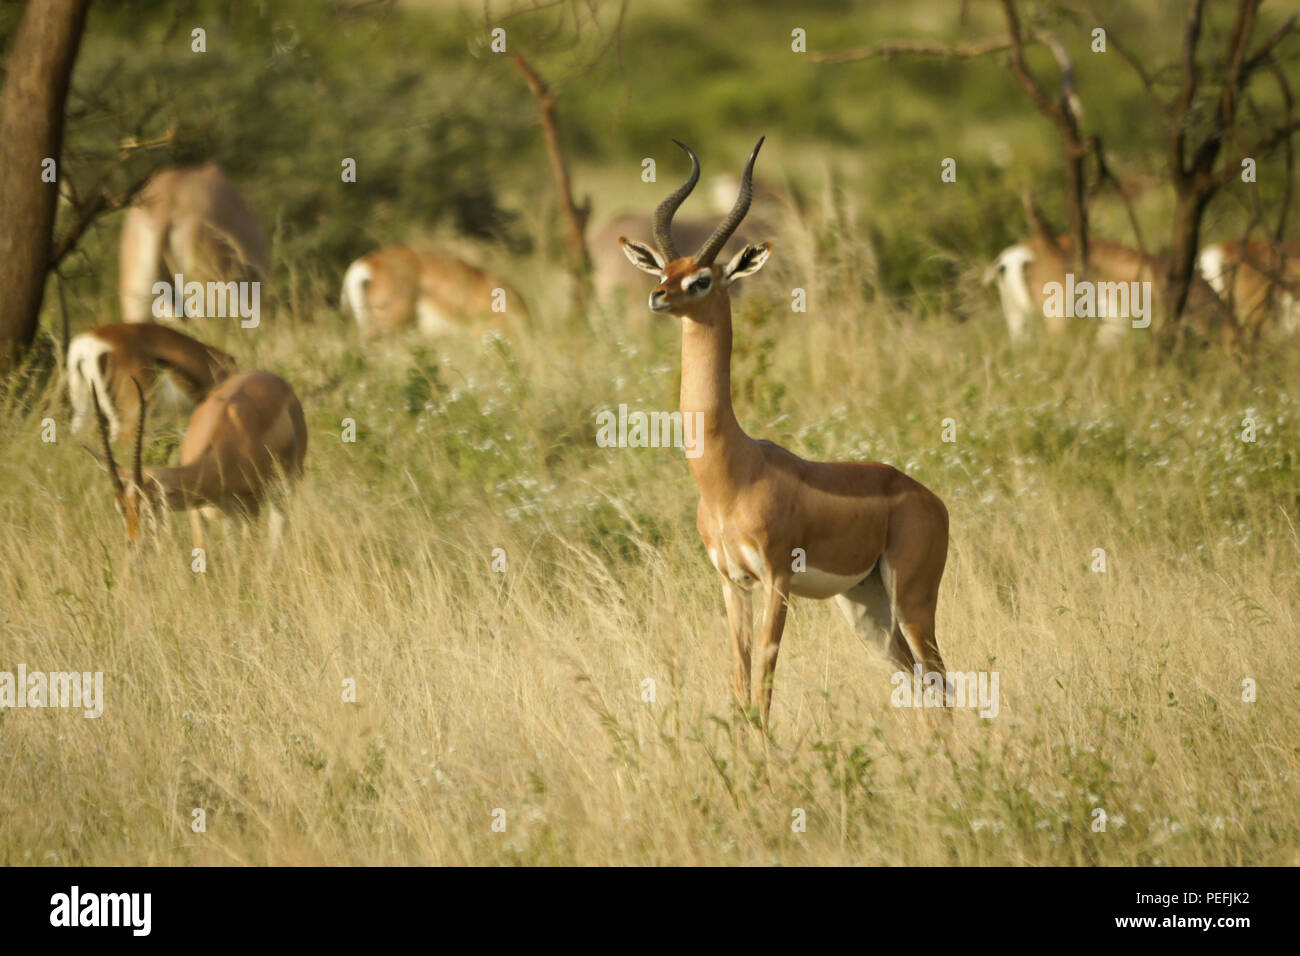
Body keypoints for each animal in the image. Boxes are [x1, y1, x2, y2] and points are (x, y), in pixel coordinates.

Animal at [88, 370, 307, 551]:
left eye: (150, 505)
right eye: (120, 509)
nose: (134, 544)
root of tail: (276, 379)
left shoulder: (251, 506)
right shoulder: (198, 513)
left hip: (284, 489)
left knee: (276, 539)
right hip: (230, 516)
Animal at [619, 139, 950, 728]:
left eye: (702, 278)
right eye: (666, 268)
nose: (658, 296)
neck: (731, 475)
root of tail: (931, 500)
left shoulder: (778, 580)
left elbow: (764, 690)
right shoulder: (731, 583)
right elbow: (738, 683)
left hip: (913, 602)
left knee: (943, 681)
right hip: (867, 611)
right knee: (919, 684)